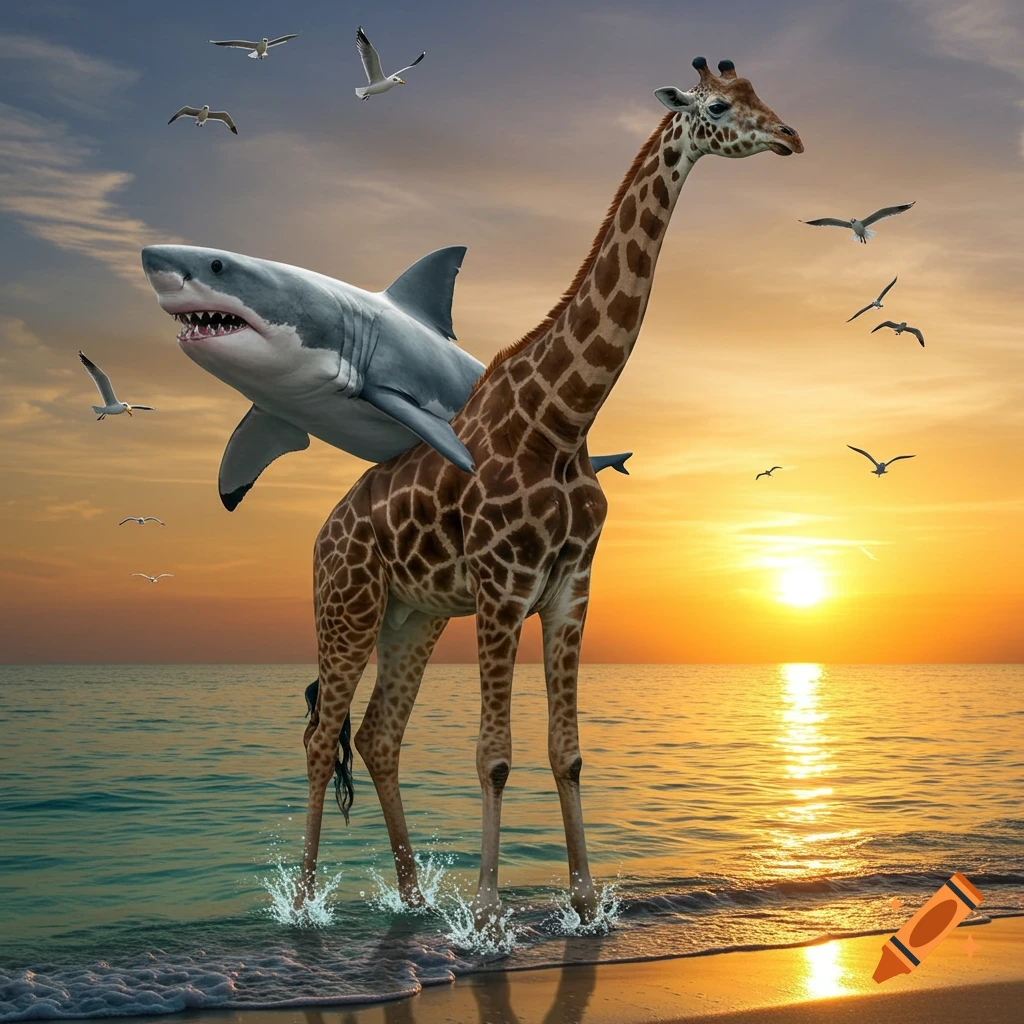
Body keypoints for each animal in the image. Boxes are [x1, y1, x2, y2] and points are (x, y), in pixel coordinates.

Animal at [297, 57, 803, 928]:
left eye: (759, 96)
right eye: (715, 107)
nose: (789, 136)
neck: (563, 418)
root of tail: (321, 534)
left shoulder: (572, 586)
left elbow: (566, 753)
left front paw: (587, 905)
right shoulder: (503, 587)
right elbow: (493, 757)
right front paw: (488, 918)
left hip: (413, 616)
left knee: (377, 736)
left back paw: (411, 901)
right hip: (348, 604)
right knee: (320, 734)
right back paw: (301, 906)